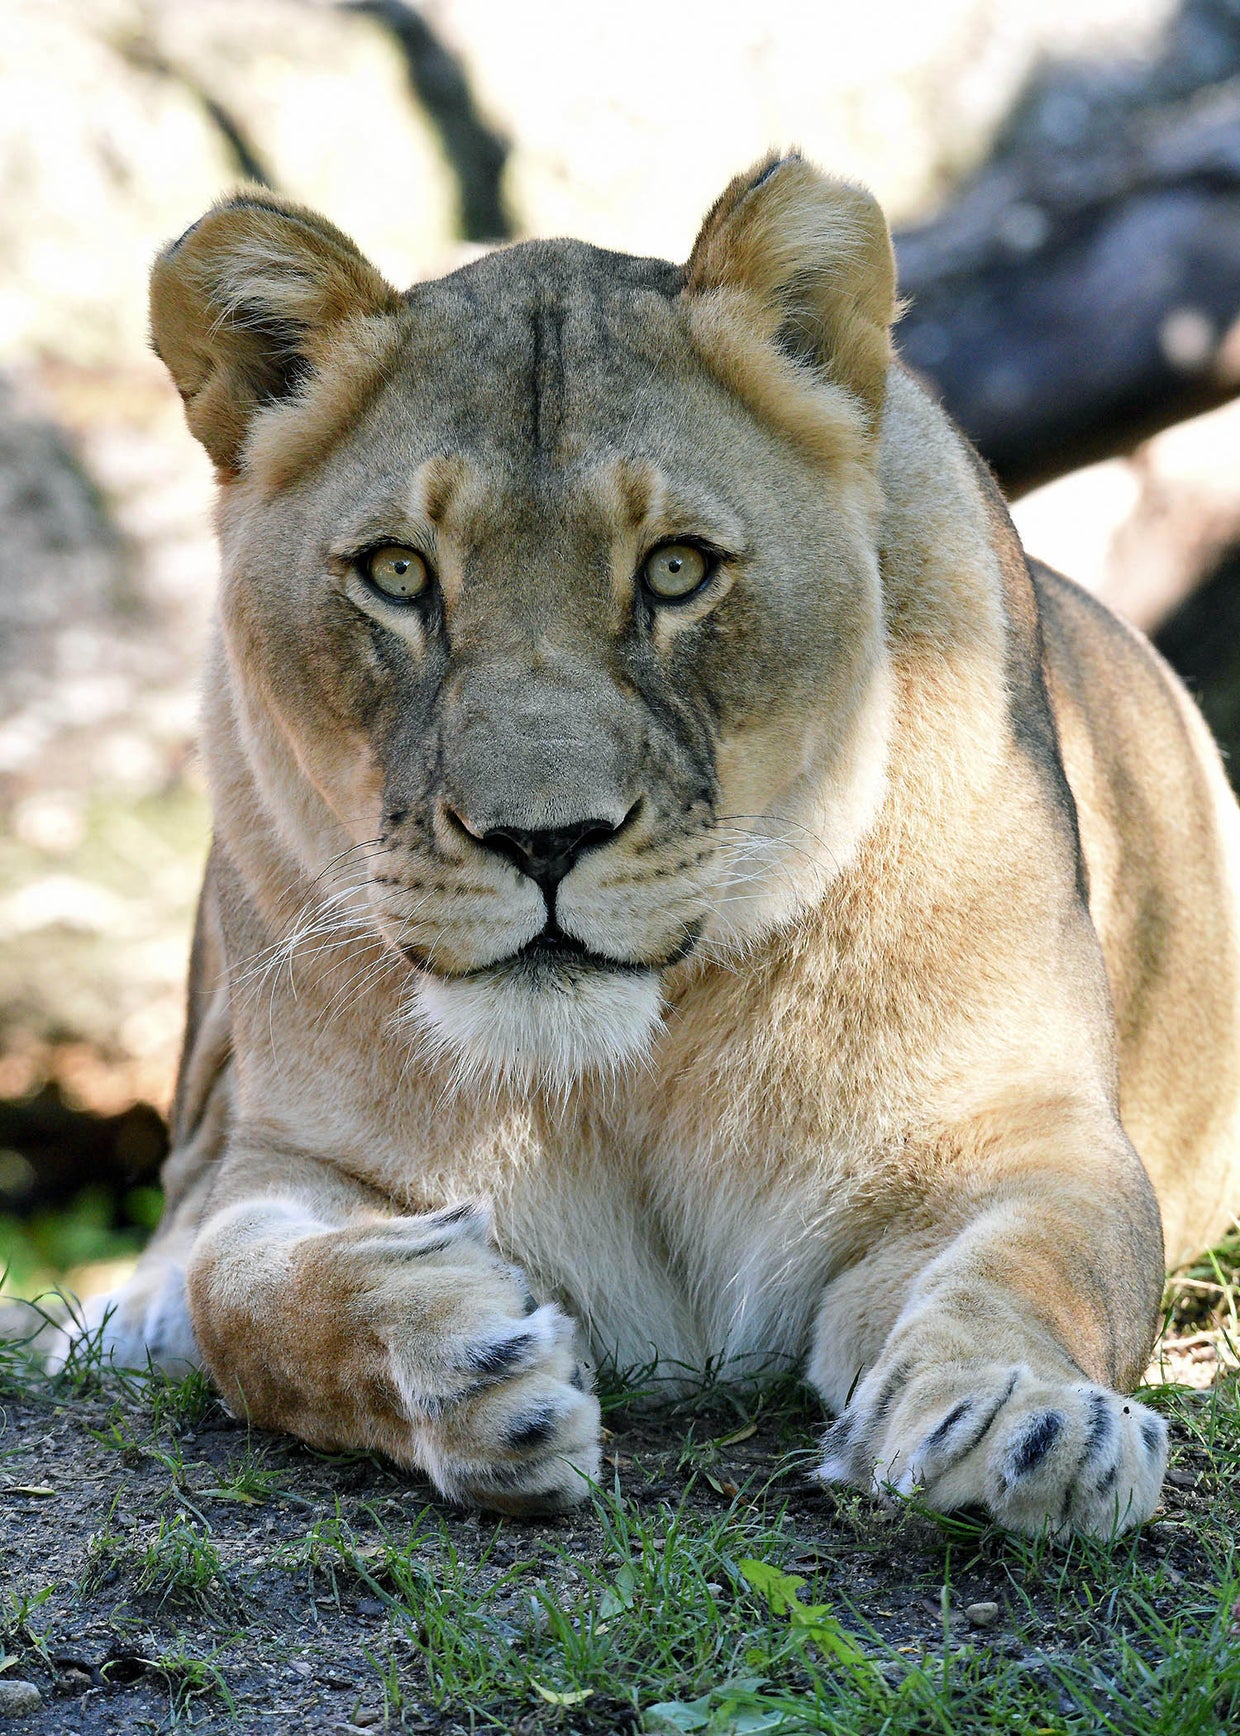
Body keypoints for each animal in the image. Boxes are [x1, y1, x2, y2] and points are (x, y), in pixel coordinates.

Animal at [74, 154, 1240, 1535]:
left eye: (676, 569)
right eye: (399, 574)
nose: (544, 838)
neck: (624, 1072)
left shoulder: (1028, 1124)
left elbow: (1044, 1261)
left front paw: (1020, 1420)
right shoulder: (291, 1152)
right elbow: (243, 1282)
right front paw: (458, 1355)